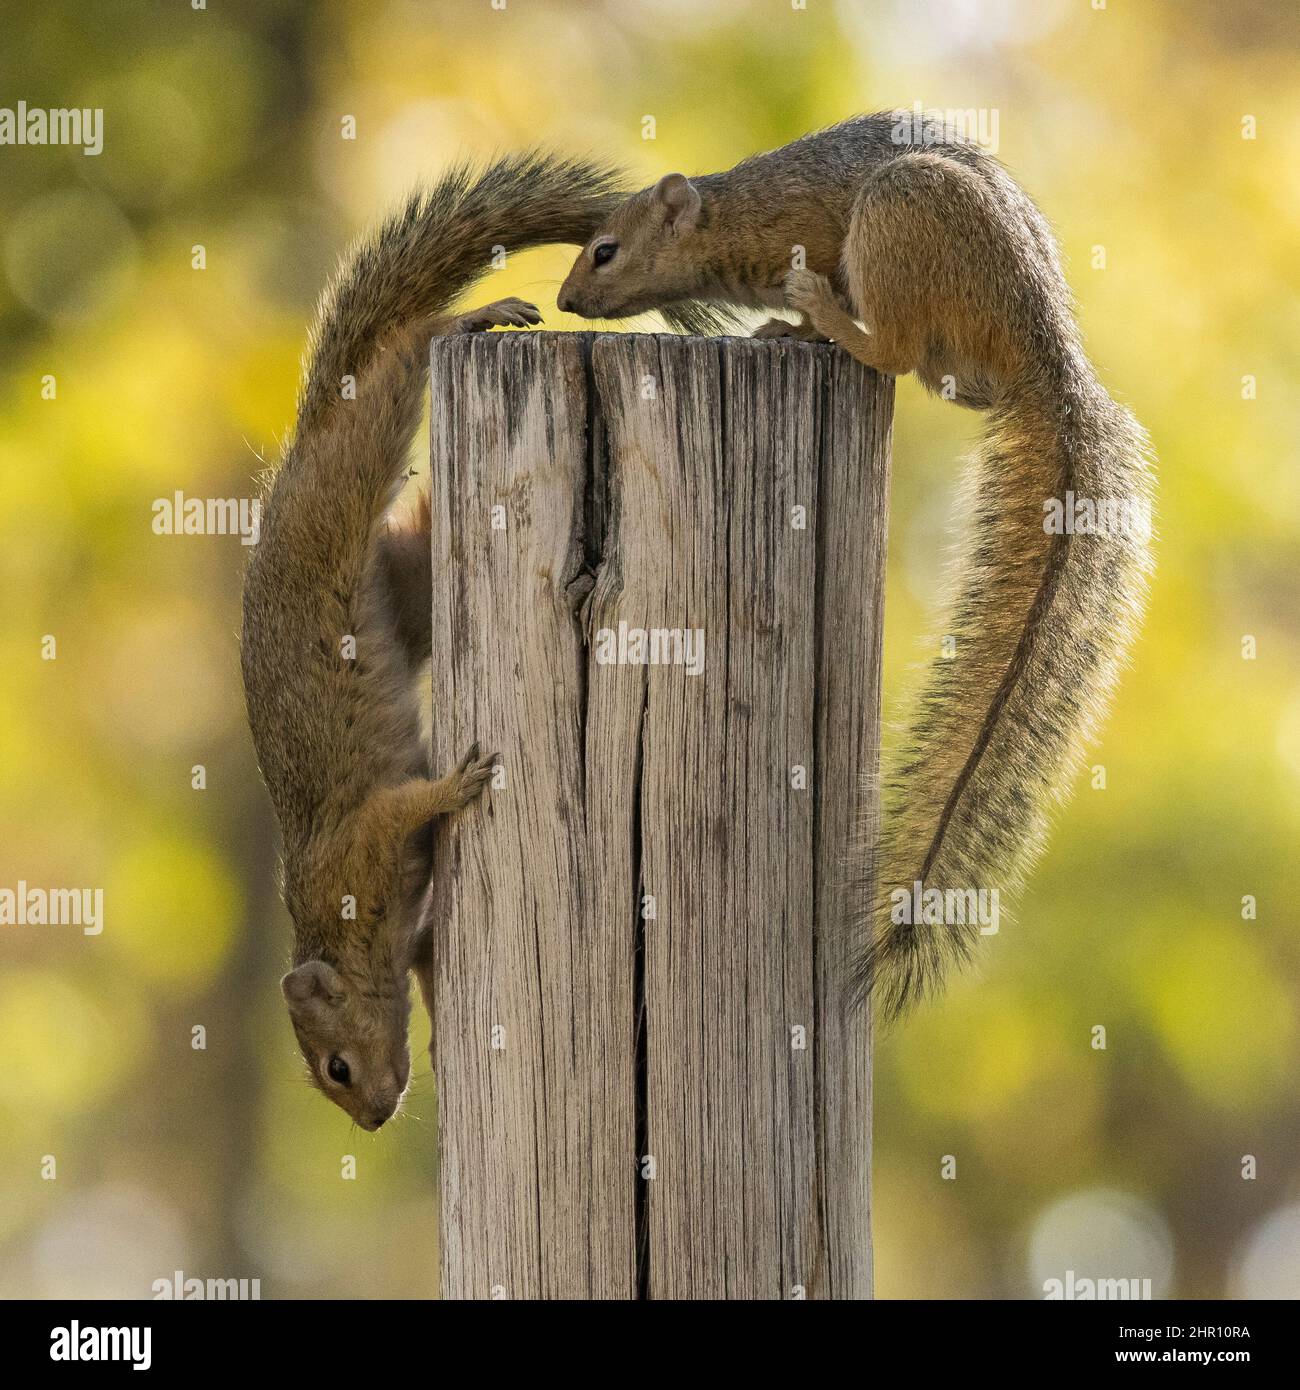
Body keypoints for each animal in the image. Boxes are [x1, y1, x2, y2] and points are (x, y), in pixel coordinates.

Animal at [241, 153, 626, 1127]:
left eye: (337, 1067)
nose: (375, 1120)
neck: (342, 929)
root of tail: (295, 457)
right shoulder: (406, 926)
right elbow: (428, 970)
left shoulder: (365, 845)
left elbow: (406, 806)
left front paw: (460, 783)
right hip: (406, 586)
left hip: (345, 478)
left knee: (401, 359)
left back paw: (472, 319)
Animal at [557, 112, 1154, 1022]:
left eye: (605, 251)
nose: (562, 303)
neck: (734, 217)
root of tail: (1046, 356)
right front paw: (783, 331)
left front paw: (796, 318)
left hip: (900, 219)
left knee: (896, 351)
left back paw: (828, 315)